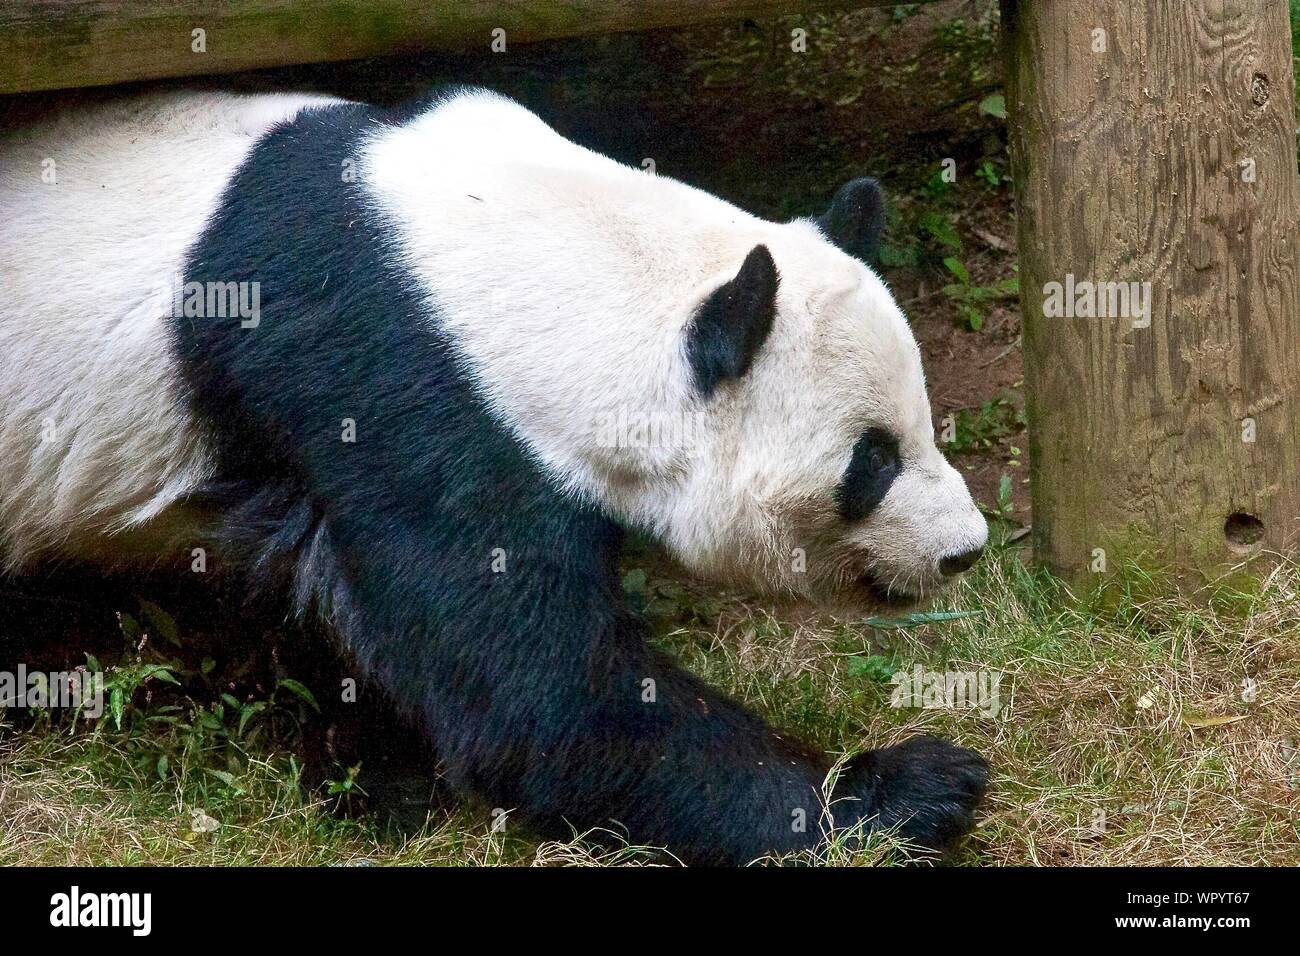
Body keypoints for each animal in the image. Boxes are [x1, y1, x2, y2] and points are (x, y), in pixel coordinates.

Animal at [0, 88, 990, 865]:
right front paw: (910, 789)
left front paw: (374, 778)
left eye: (922, 423)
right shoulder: (396, 387)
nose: (965, 550)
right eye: (870, 461)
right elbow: (538, 700)